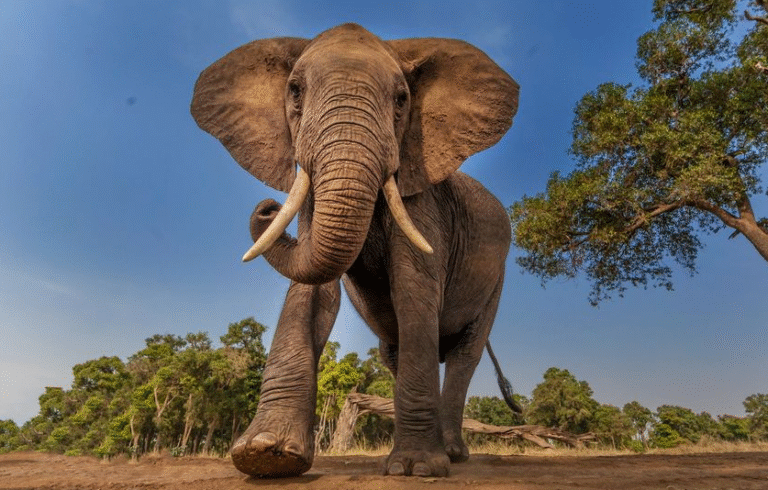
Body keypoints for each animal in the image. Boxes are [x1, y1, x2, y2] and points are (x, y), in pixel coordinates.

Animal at [191, 23, 519, 478]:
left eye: (401, 100)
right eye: (295, 91)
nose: (266, 207)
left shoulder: (423, 200)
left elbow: (414, 290)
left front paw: (417, 469)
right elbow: (311, 292)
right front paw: (265, 455)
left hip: (498, 279)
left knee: (464, 354)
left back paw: (451, 454)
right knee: (394, 352)